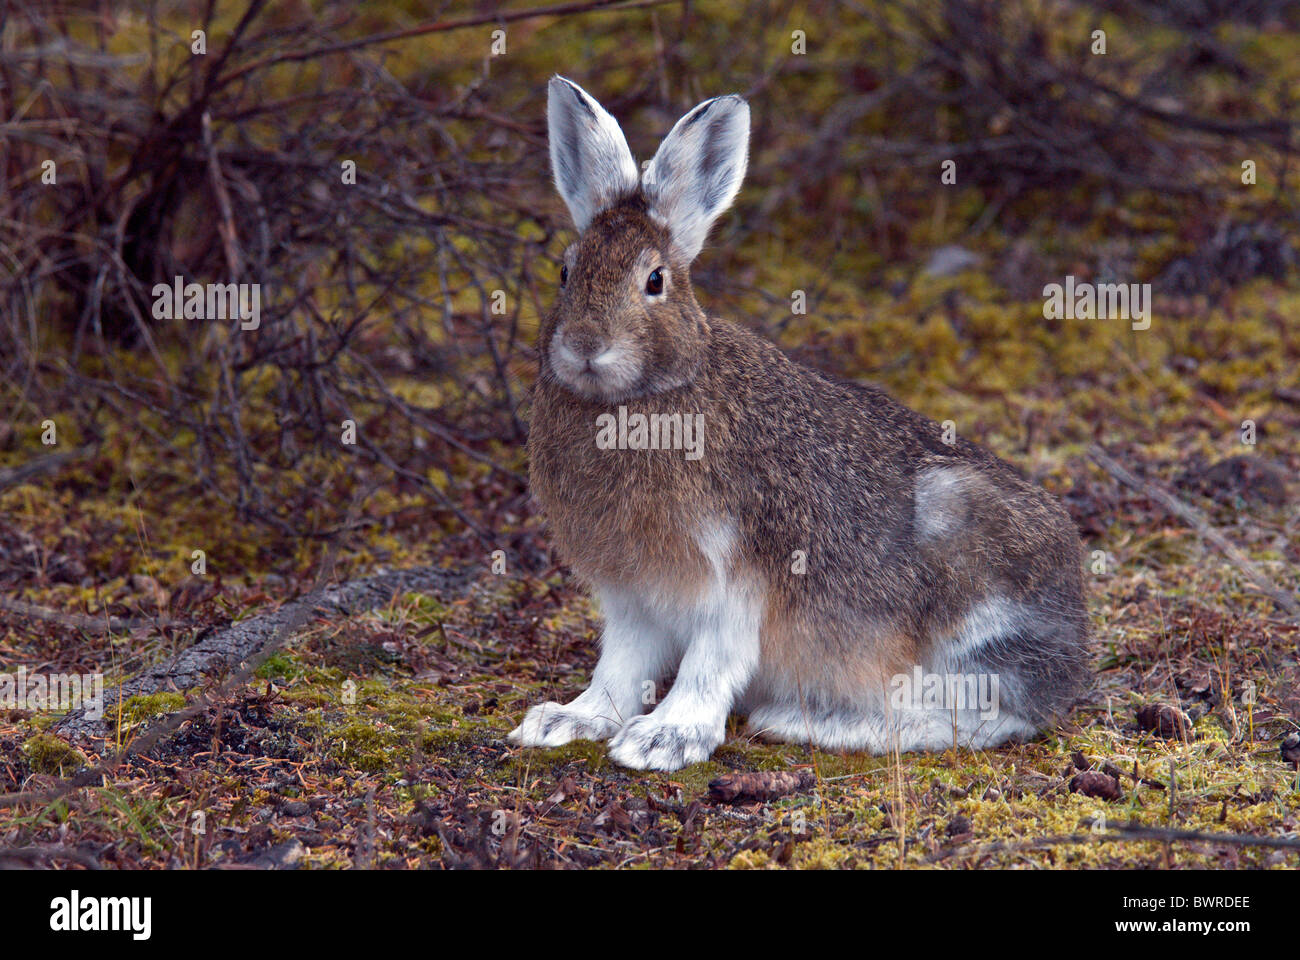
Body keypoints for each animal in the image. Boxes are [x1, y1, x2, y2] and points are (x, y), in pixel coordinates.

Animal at [508, 76, 1090, 772]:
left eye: (654, 280)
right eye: (565, 272)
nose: (584, 346)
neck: (638, 401)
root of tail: (1074, 640)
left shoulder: (736, 577)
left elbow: (709, 661)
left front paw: (664, 739)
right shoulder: (631, 596)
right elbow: (619, 666)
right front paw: (568, 720)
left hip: (968, 597)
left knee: (987, 715)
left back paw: (818, 722)